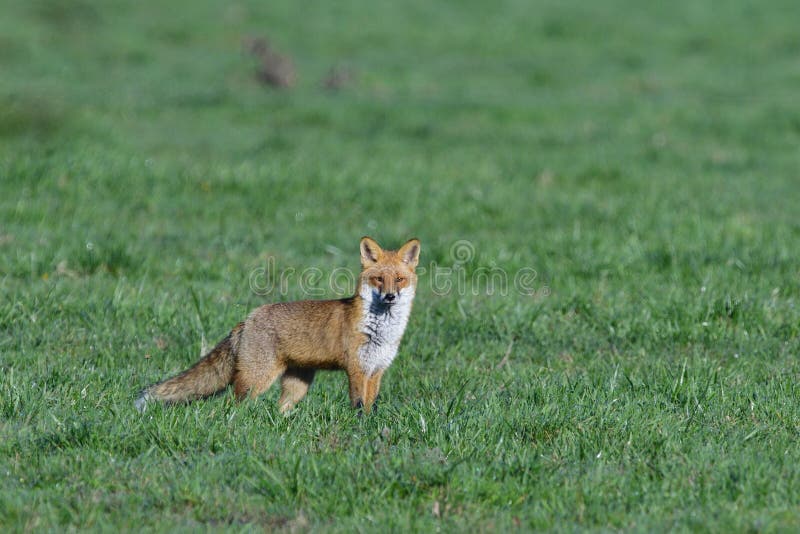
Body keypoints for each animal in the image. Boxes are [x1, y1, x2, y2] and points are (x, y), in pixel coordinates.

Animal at [135, 236, 421, 415]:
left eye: (399, 279)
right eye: (378, 279)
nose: (390, 297)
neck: (381, 332)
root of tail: (248, 319)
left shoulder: (377, 369)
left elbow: (370, 404)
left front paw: (370, 426)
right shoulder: (357, 368)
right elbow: (359, 404)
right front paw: (359, 427)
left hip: (297, 384)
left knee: (279, 408)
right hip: (257, 379)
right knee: (230, 405)